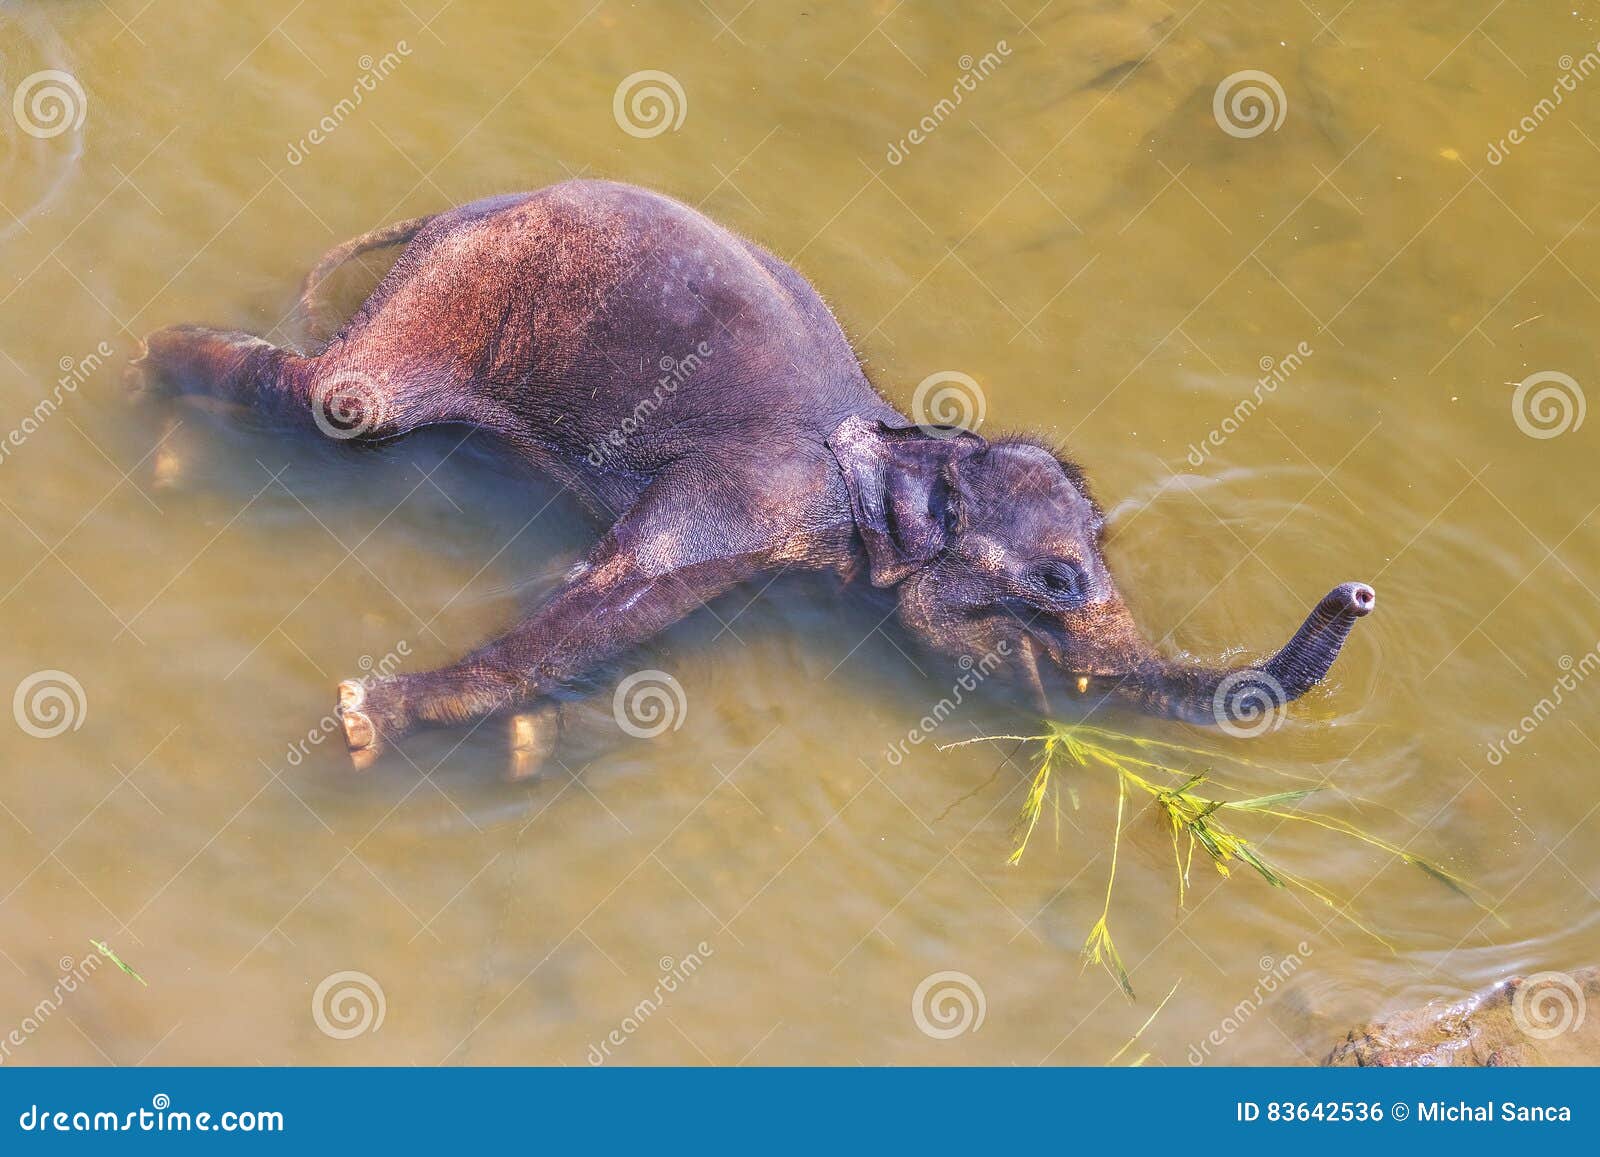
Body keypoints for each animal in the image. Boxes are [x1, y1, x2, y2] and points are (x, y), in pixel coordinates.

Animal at [128, 179, 1375, 772]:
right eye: (1057, 584)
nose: (1360, 589)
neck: (896, 450)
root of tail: (454, 210)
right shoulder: (743, 498)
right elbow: (614, 590)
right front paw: (364, 720)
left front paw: (523, 745)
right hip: (456, 300)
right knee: (344, 404)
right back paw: (156, 395)